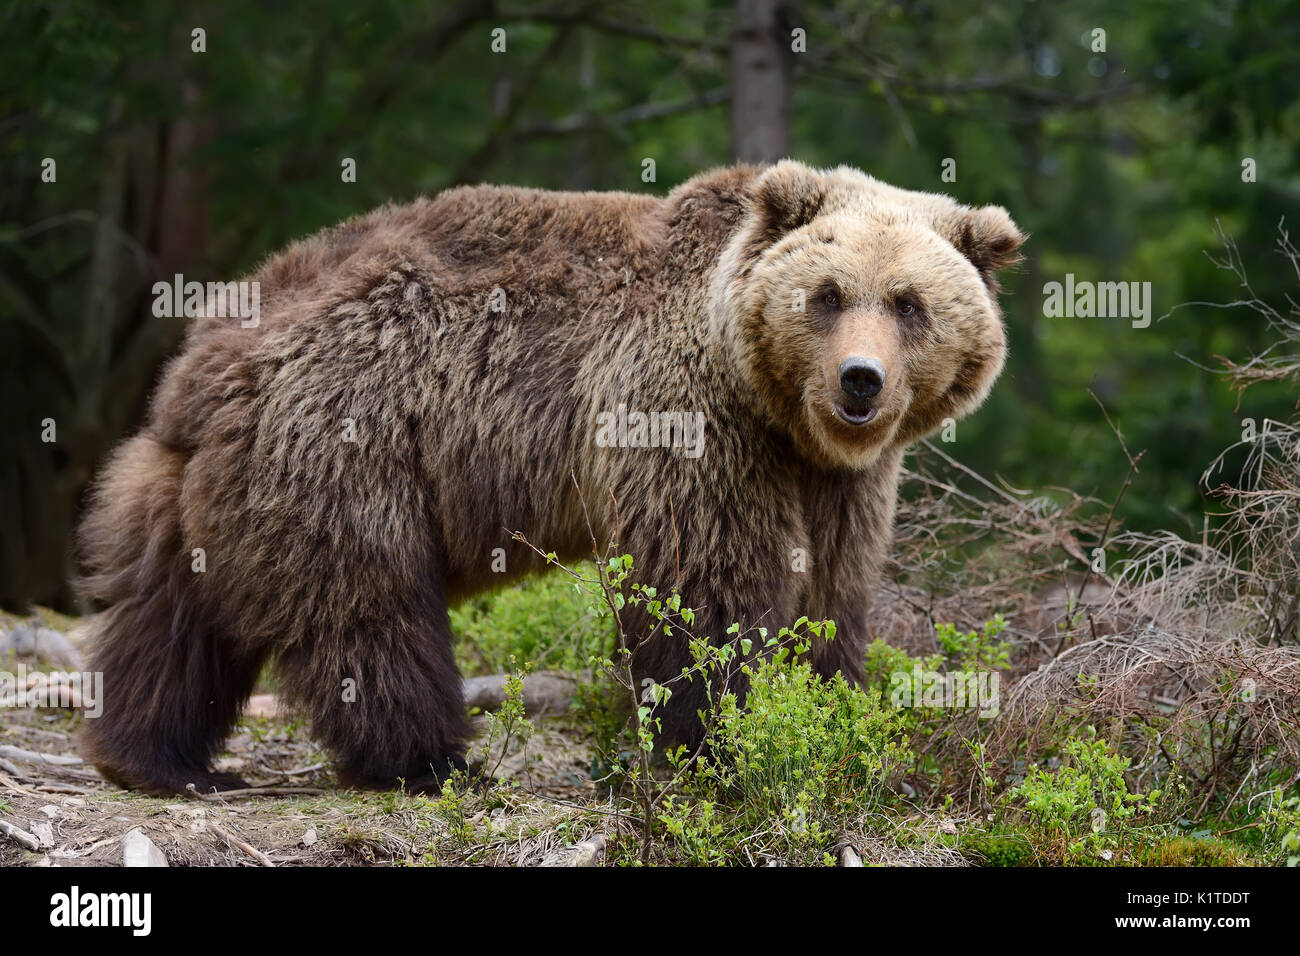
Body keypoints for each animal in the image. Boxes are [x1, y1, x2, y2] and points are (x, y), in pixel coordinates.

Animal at [76, 160, 1024, 795]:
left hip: (189, 488)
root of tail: (208, 354)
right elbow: (705, 587)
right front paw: (722, 743)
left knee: (169, 616)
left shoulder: (838, 478)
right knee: (370, 610)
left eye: (909, 303)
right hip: (344, 443)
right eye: (827, 294)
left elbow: (829, 589)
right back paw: (431, 760)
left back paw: (154, 757)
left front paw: (831, 710)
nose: (860, 381)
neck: (777, 410)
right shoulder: (684, 415)